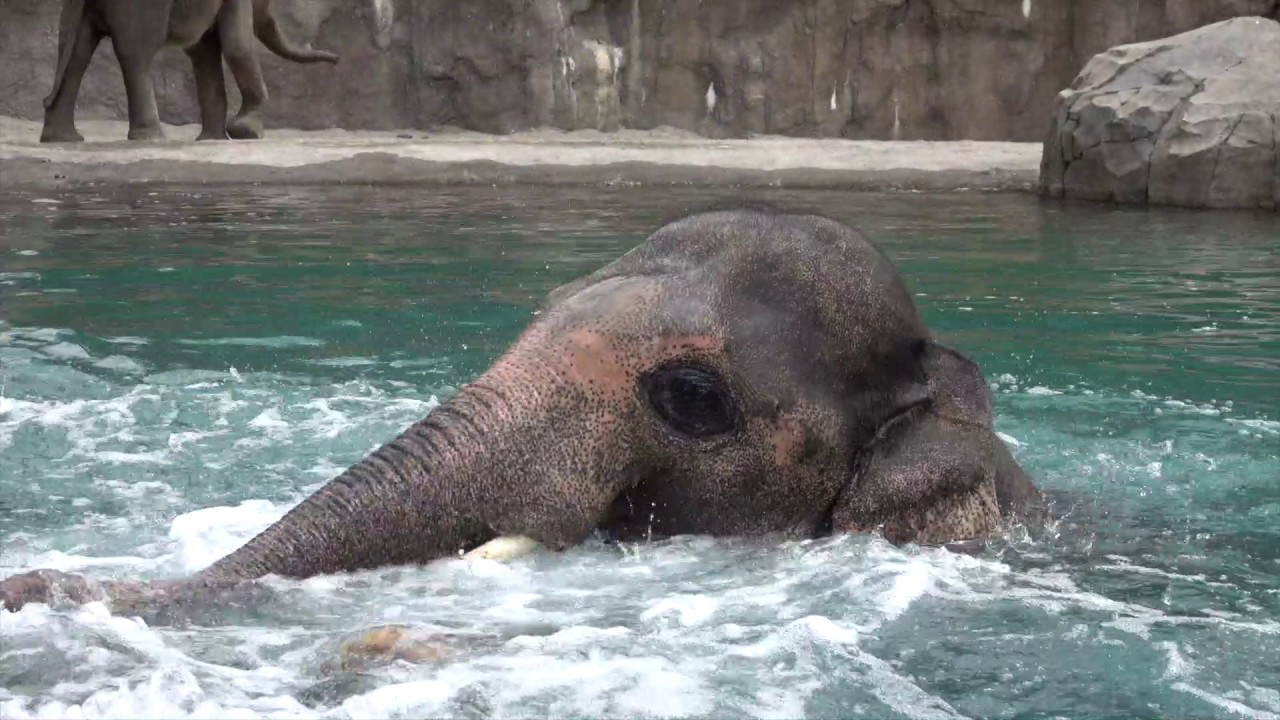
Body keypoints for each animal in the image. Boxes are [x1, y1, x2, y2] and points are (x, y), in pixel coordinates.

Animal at [40, 0, 339, 144]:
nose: (336, 59)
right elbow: (237, 47)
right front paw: (245, 132)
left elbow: (203, 51)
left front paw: (213, 139)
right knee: (135, 53)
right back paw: (153, 139)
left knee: (77, 50)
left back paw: (62, 139)